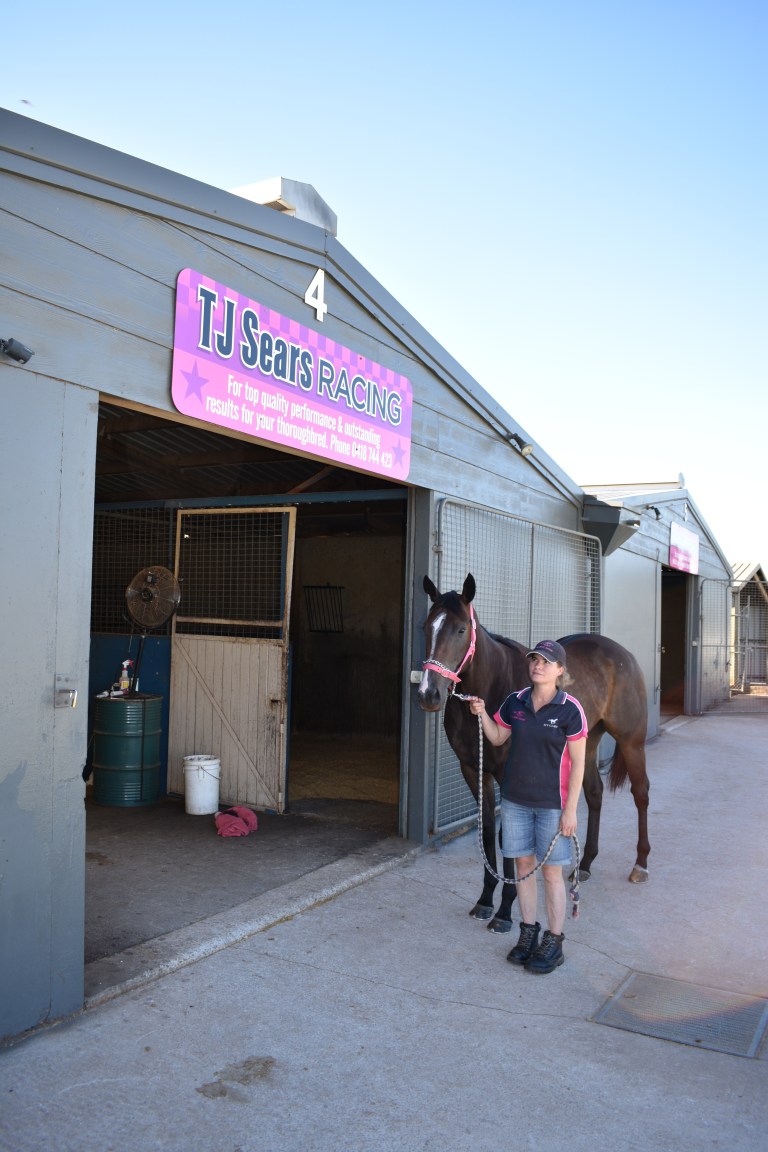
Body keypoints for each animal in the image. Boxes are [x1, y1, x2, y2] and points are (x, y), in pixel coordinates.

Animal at [417, 573, 650, 934]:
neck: (493, 687)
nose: (429, 694)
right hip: (587, 743)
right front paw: (485, 900)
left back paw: (640, 864)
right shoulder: (472, 769)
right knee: (594, 793)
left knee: (641, 794)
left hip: (631, 741)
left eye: (460, 630)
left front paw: (505, 911)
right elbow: (488, 832)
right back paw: (585, 864)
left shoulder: (509, 775)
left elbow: (507, 836)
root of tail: (620, 653)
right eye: (426, 627)